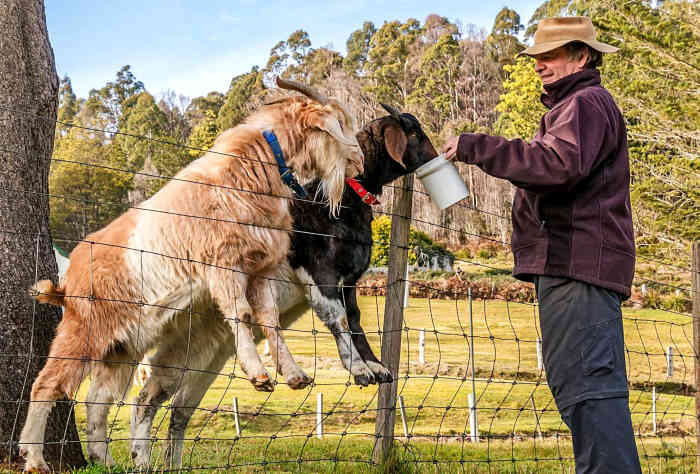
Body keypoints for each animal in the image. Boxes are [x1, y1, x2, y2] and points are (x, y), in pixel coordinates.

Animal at [19, 78, 363, 473]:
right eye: (340, 124)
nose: (358, 161)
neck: (250, 168)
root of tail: (69, 278)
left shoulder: (260, 268)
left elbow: (270, 320)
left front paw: (293, 375)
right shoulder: (222, 263)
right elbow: (241, 314)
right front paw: (258, 375)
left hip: (122, 346)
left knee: (98, 399)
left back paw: (104, 459)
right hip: (84, 328)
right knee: (47, 384)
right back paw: (34, 458)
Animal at [129, 106, 437, 469]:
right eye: (414, 132)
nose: (440, 157)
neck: (341, 195)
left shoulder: (349, 280)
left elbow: (356, 321)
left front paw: (376, 366)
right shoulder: (319, 270)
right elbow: (338, 320)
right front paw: (360, 370)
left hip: (203, 357)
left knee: (176, 410)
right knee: (146, 401)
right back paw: (140, 461)